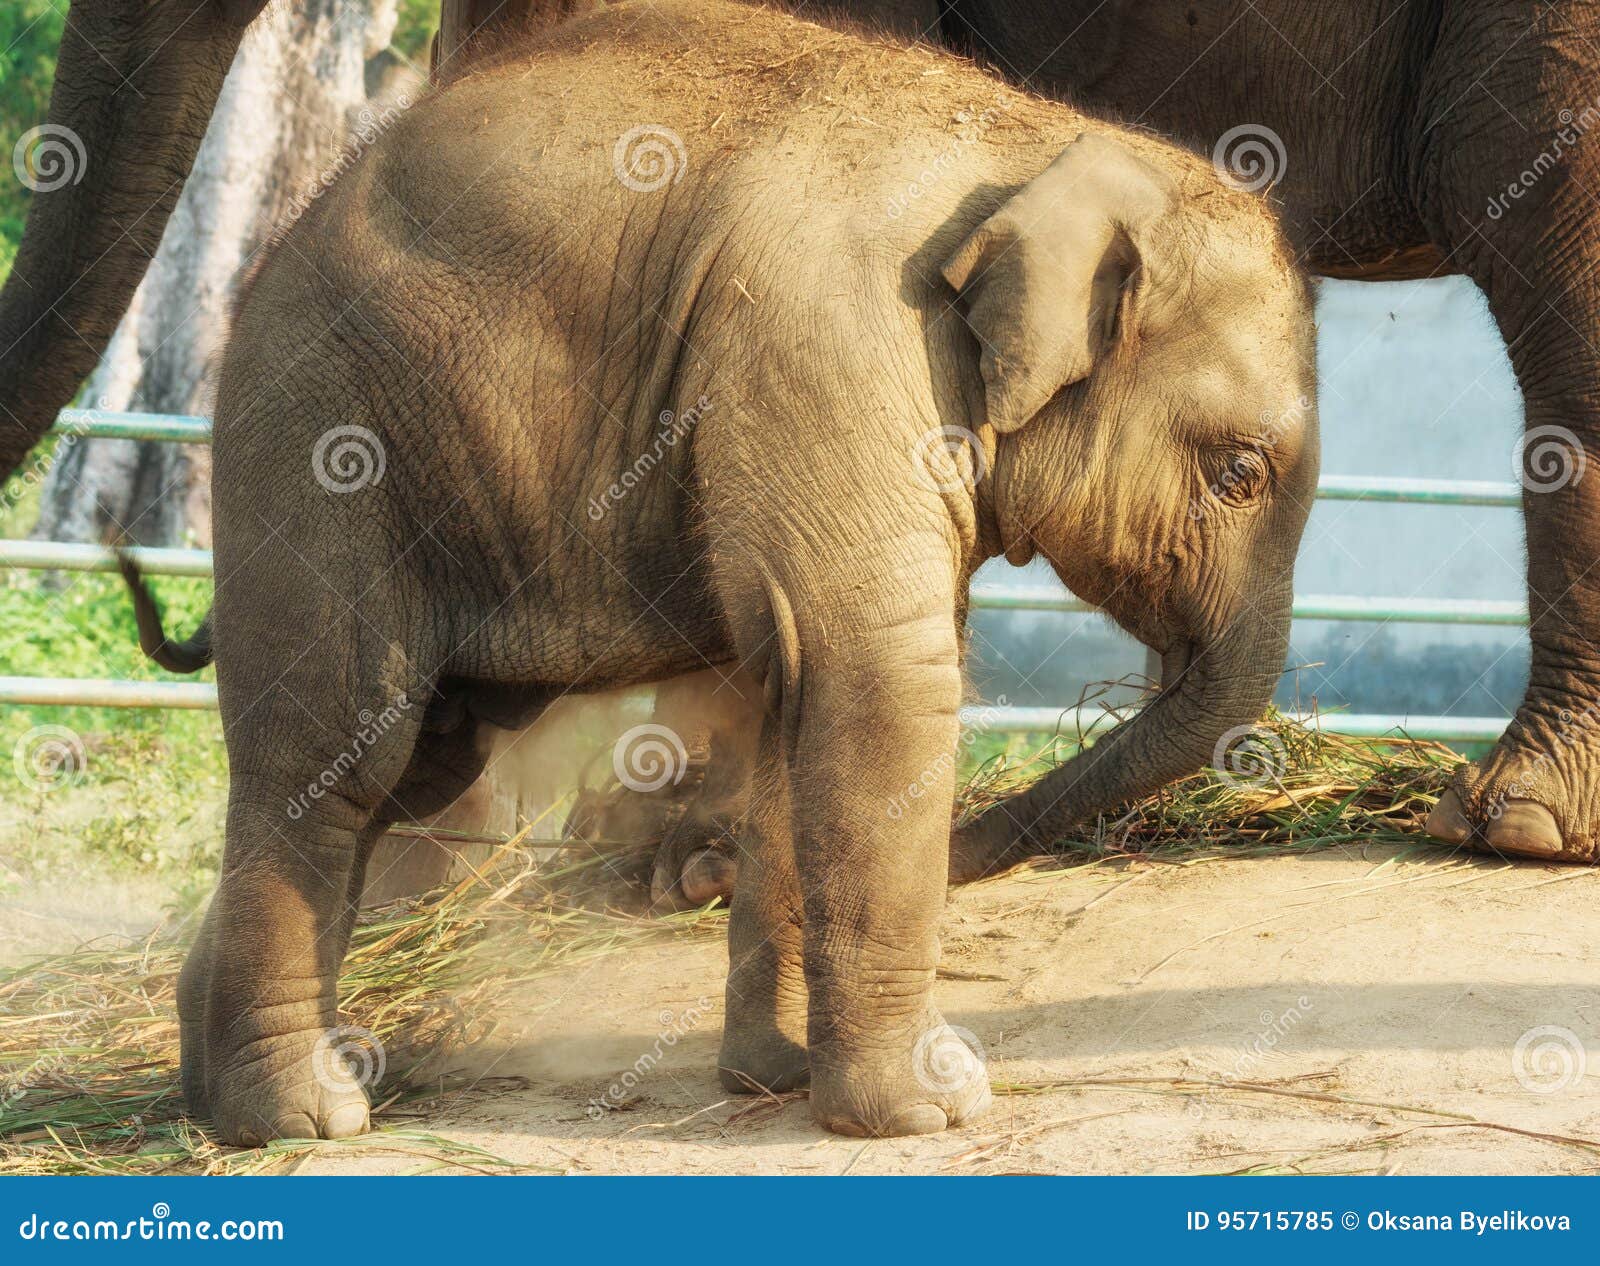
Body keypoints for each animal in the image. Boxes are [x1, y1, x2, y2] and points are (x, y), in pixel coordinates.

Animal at [113, 0, 1318, 1142]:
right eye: (1239, 472)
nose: (695, 875)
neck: (1041, 143)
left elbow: (805, 694)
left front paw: (776, 1079)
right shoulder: (835, 344)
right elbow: (885, 681)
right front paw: (932, 1106)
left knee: (412, 766)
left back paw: (208, 1092)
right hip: (317, 453)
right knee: (341, 754)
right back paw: (300, 1117)